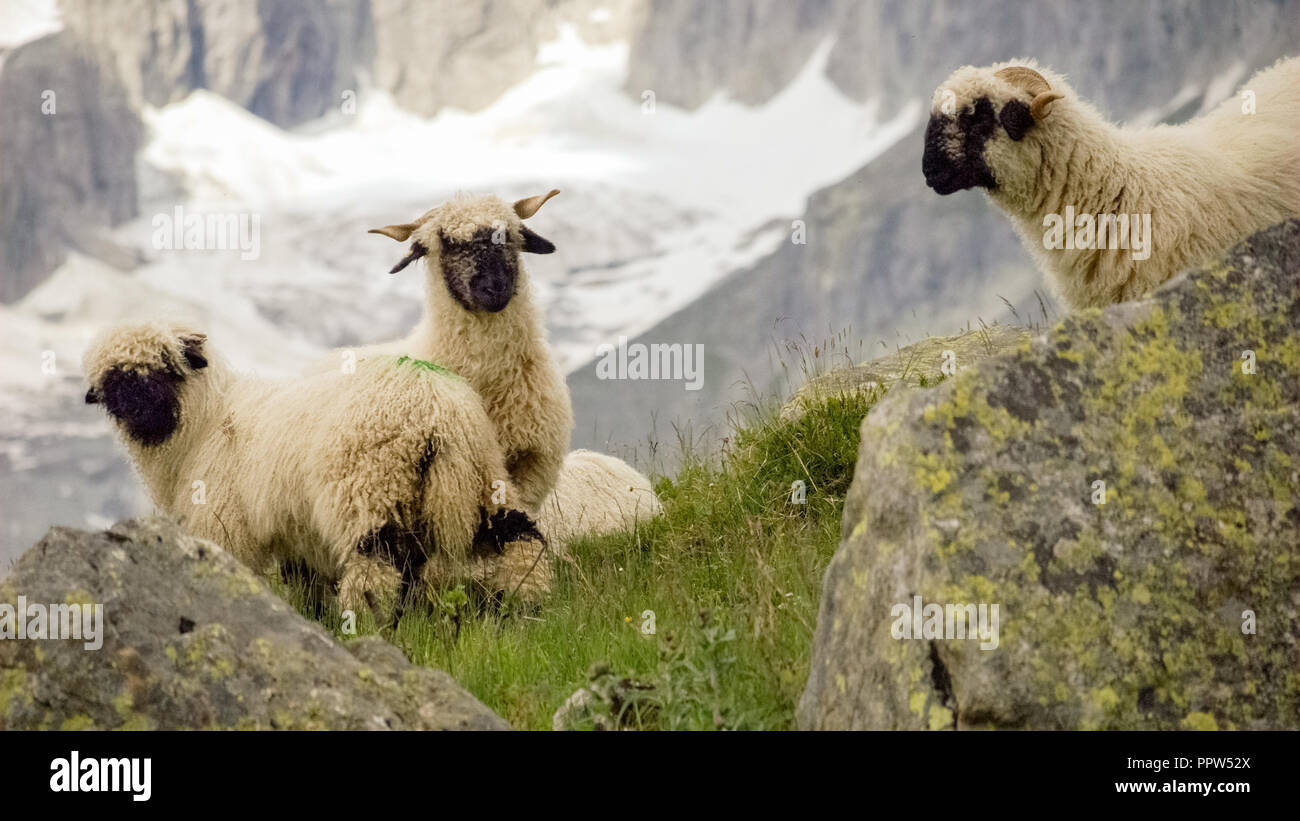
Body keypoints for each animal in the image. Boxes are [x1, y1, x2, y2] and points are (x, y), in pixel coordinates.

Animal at [83, 321, 551, 613]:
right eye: (113, 381)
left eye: (166, 367)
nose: (137, 409)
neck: (204, 422)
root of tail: (435, 409)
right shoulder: (295, 534)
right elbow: (307, 590)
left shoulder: (223, 525)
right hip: (483, 480)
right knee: (521, 537)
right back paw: (525, 606)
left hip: (369, 492)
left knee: (374, 572)